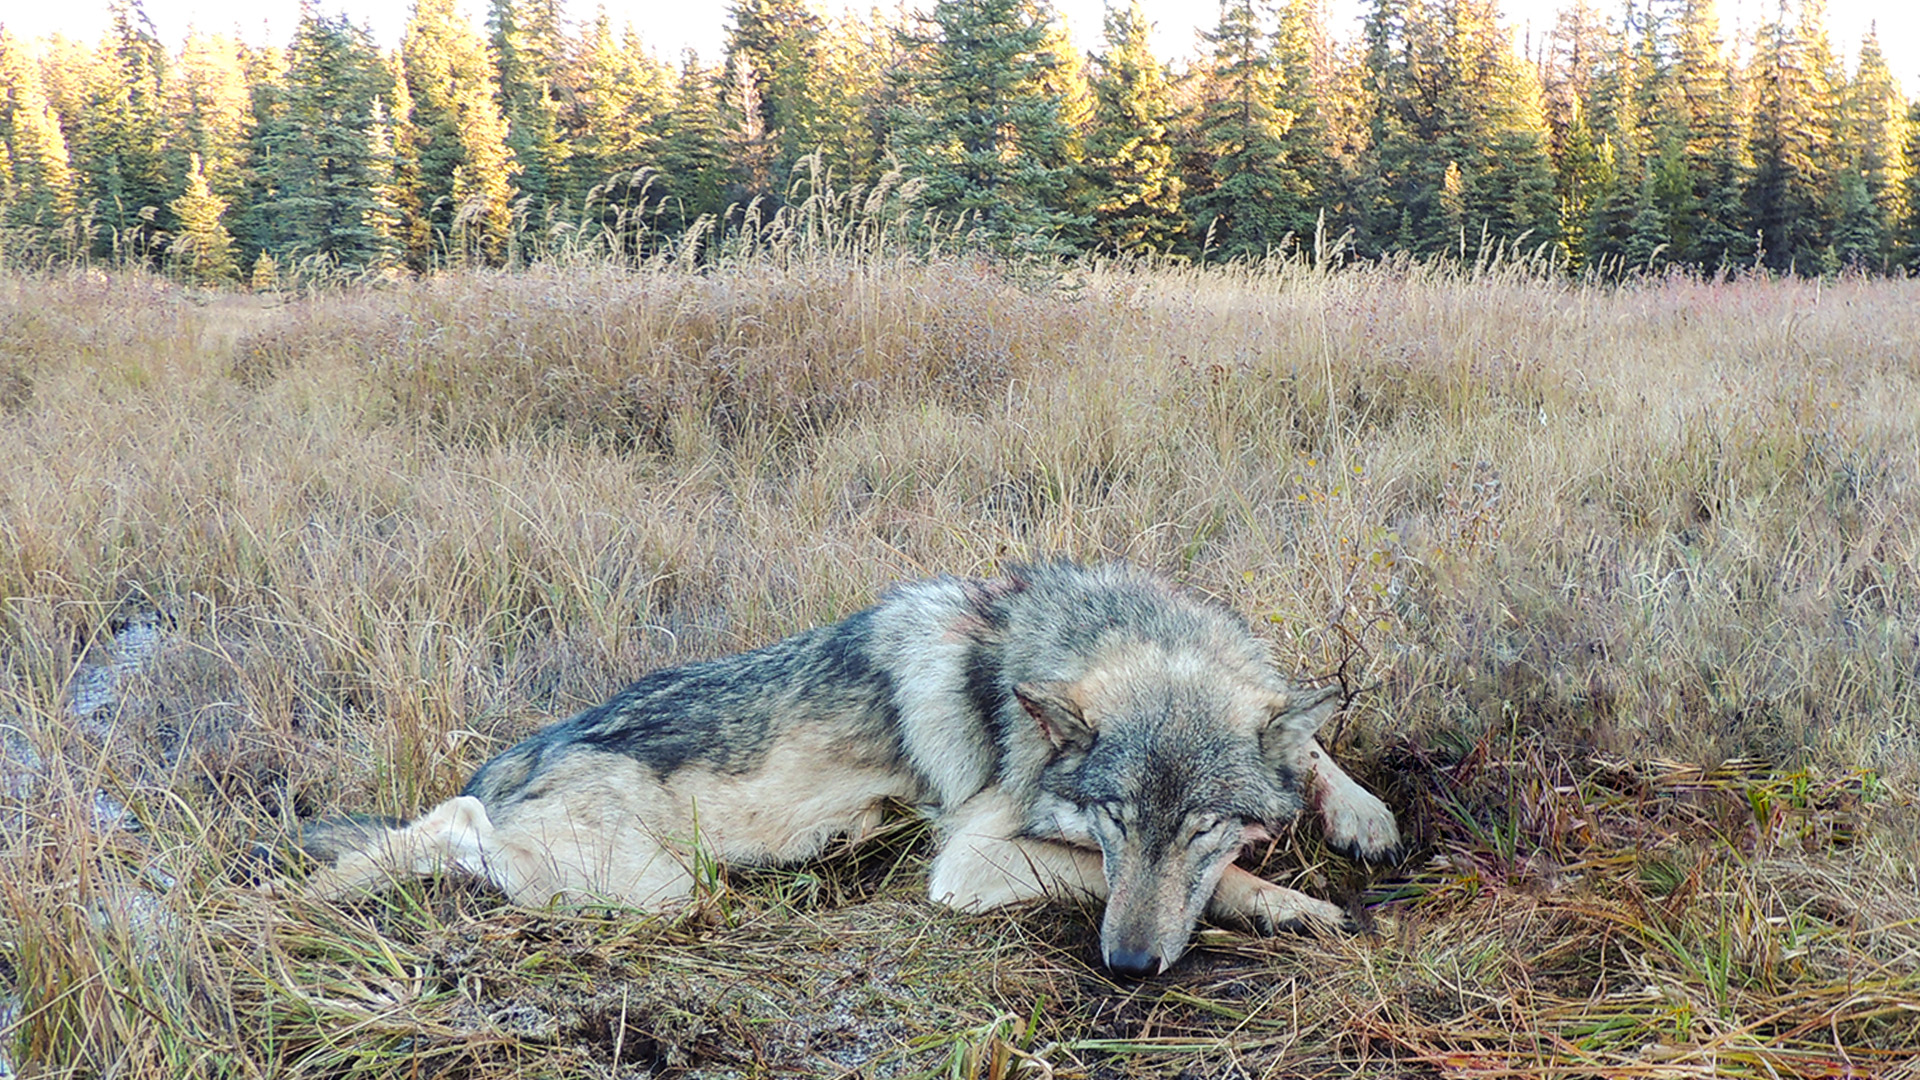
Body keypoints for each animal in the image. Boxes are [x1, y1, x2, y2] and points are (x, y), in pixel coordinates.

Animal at [291, 561, 1400, 976]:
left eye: (1198, 825)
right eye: (1117, 824)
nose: (1126, 969)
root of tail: (508, 766)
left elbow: (1308, 742)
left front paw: (1361, 813)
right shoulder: (971, 865)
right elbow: (1202, 885)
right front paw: (1290, 904)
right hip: (654, 888)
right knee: (455, 839)